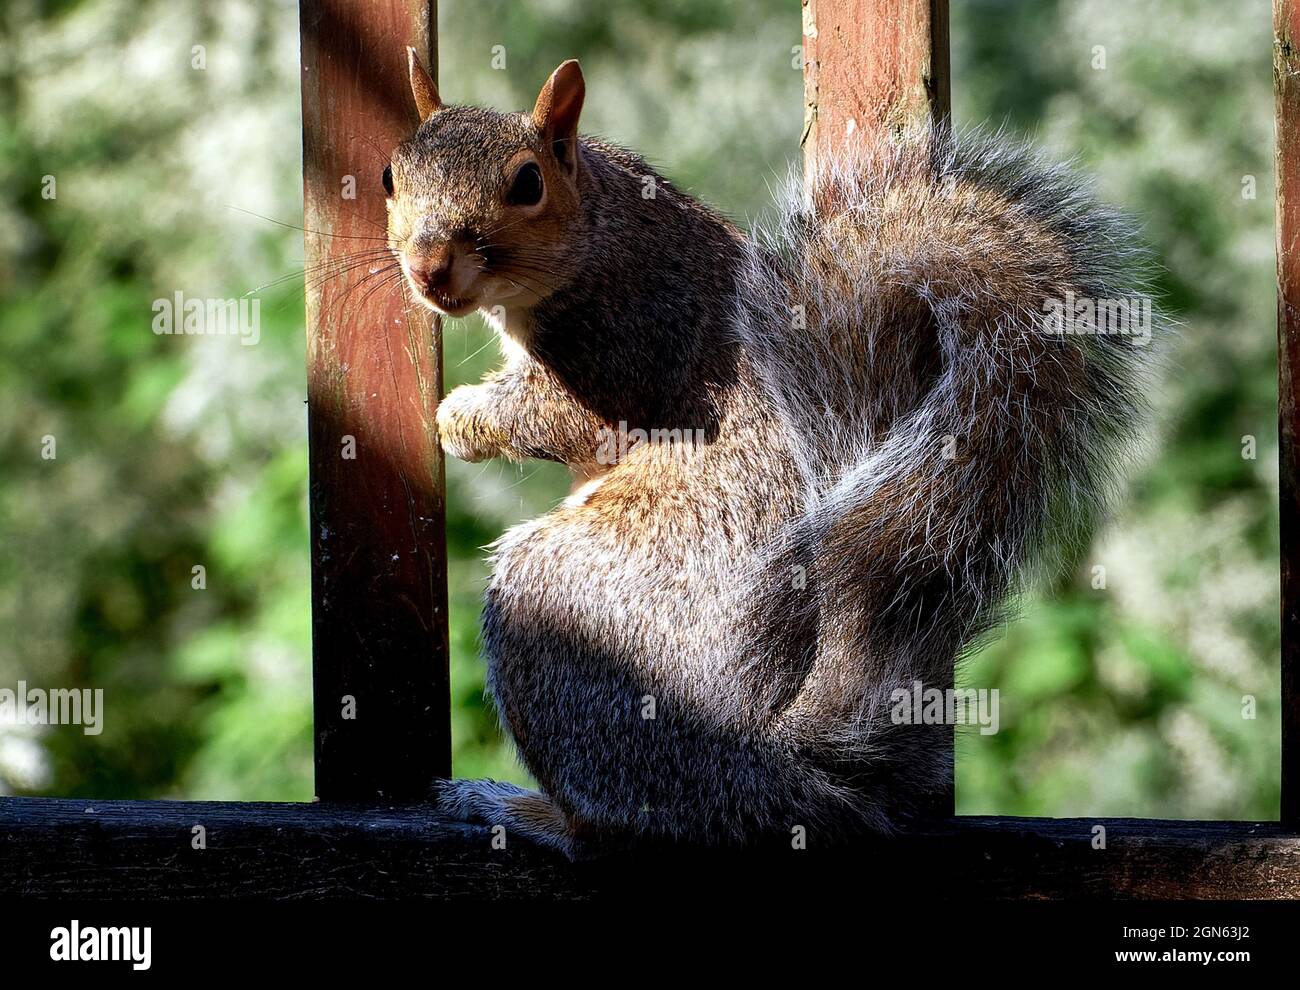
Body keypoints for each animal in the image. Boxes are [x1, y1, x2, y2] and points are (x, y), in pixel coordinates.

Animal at [387, 49, 1159, 858]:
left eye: (527, 183)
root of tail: (763, 761)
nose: (428, 269)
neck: (600, 223)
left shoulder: (625, 344)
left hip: (559, 611)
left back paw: (517, 809)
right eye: (389, 176)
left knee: (610, 824)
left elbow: (552, 418)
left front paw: (457, 420)